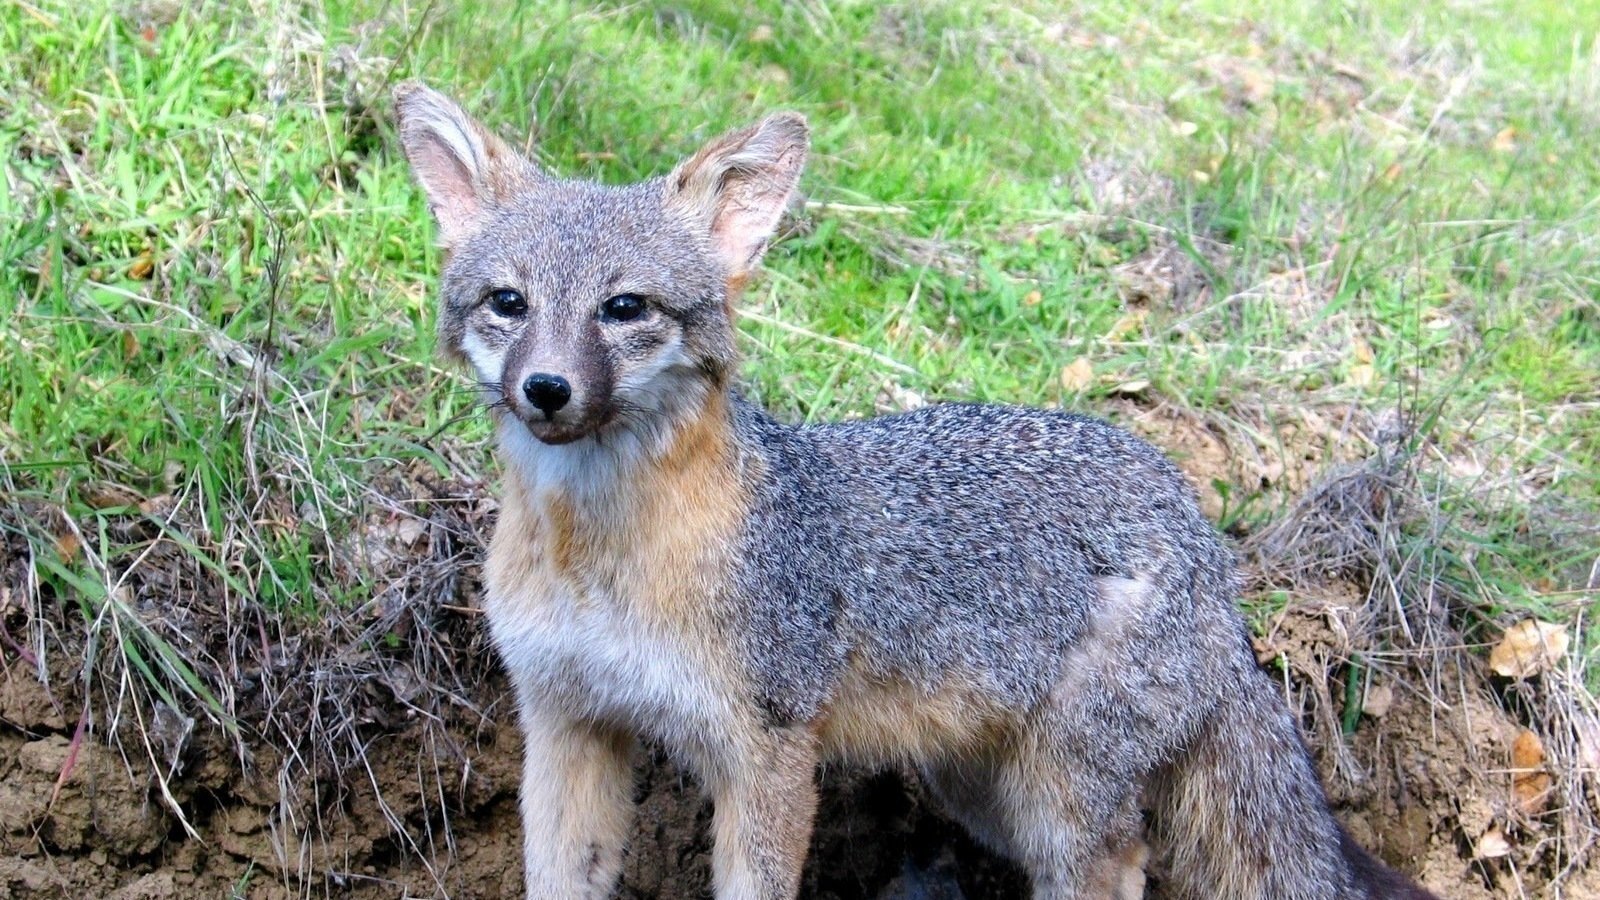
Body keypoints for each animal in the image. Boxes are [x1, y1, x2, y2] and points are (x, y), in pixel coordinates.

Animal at [393, 80, 1441, 900]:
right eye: (509, 303)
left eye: (623, 309)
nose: (547, 388)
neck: (596, 552)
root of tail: (1201, 532)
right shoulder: (566, 723)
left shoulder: (768, 753)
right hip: (981, 787)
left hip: (1061, 796)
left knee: (1120, 866)